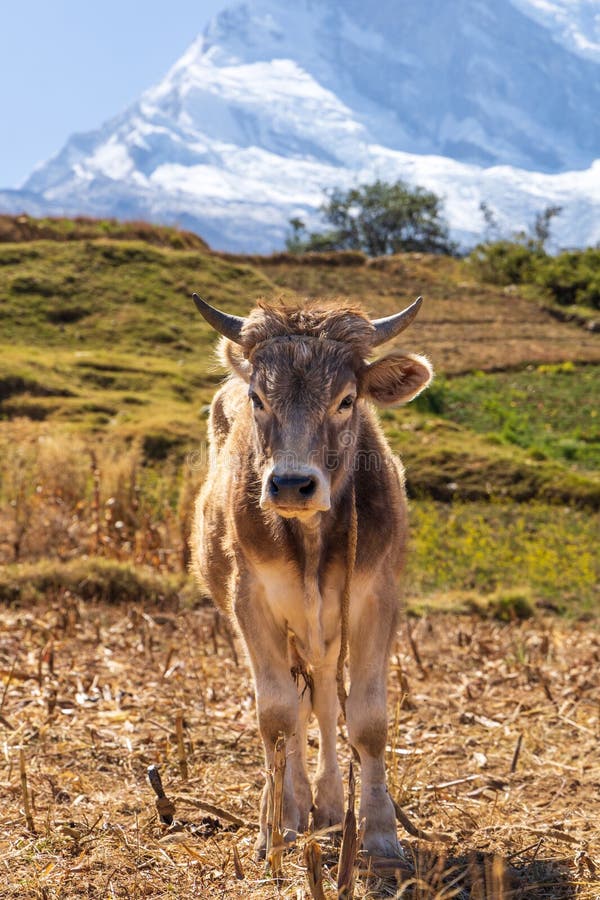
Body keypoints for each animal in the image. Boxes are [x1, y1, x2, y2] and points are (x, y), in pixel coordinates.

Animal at [190, 294, 433, 858]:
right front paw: (275, 826)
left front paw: (381, 833)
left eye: (346, 400)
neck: (311, 543)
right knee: (299, 713)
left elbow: (366, 720)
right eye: (258, 398)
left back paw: (327, 803)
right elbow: (277, 718)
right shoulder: (251, 602)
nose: (291, 484)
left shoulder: (375, 602)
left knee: (321, 700)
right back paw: (298, 805)